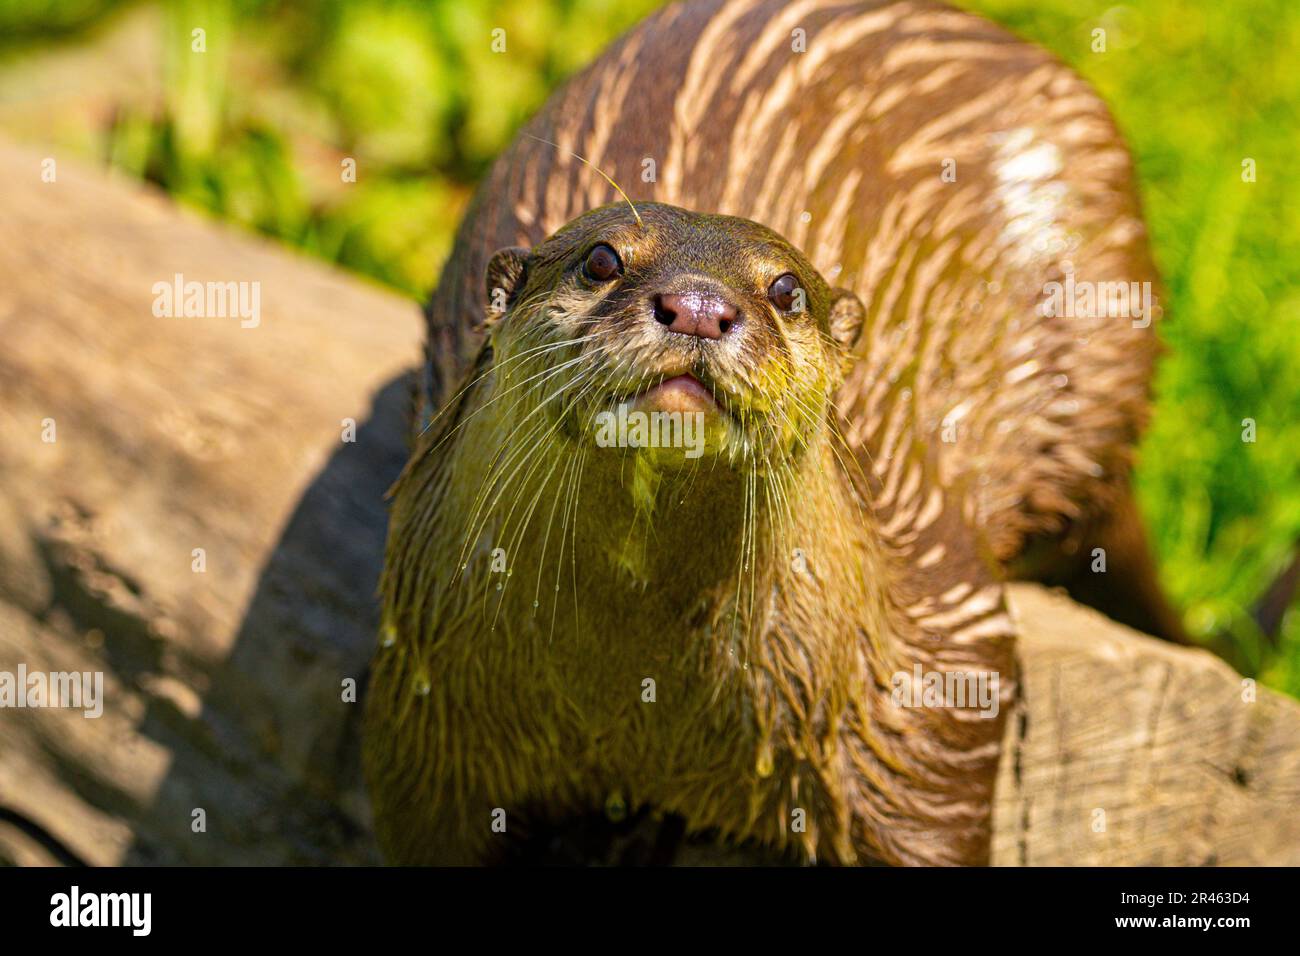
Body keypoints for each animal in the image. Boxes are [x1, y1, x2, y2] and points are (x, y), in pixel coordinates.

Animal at [364, 0, 1181, 866]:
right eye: (601, 259)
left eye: (787, 289)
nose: (697, 306)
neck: (638, 707)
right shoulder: (422, 724)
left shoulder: (928, 712)